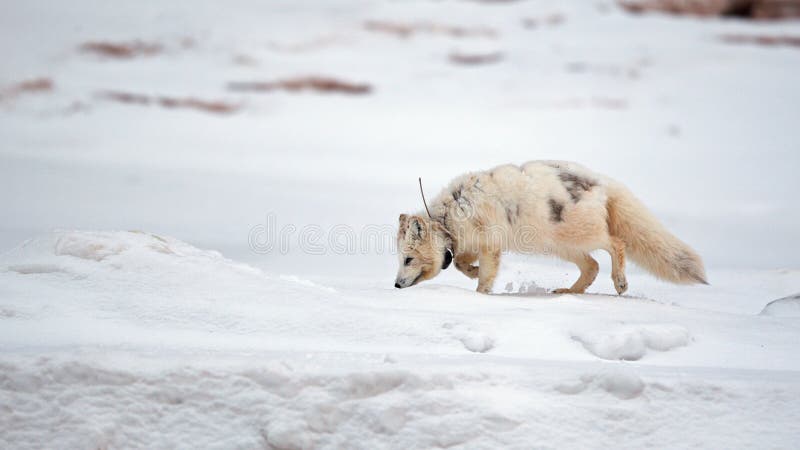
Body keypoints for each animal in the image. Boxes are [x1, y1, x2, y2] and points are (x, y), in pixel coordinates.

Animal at [394, 160, 707, 294]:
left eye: (407, 259)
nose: (396, 285)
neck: (449, 217)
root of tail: (601, 181)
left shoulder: (490, 243)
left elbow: (484, 275)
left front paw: (480, 293)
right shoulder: (474, 243)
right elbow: (460, 262)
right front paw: (471, 272)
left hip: (580, 235)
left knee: (616, 244)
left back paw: (619, 282)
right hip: (562, 246)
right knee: (592, 266)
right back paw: (569, 292)